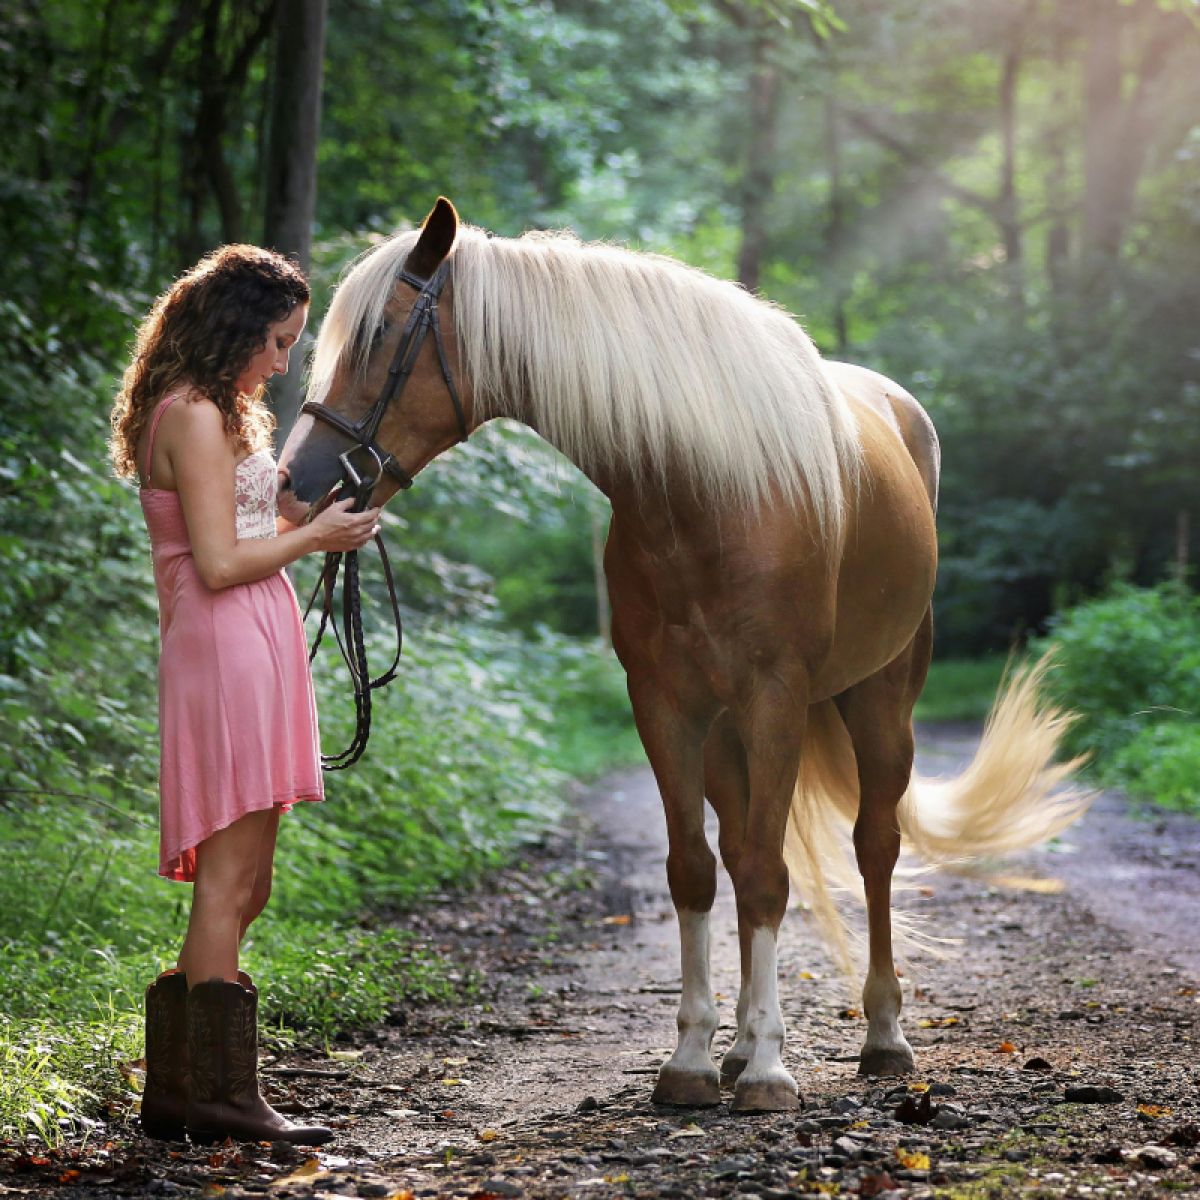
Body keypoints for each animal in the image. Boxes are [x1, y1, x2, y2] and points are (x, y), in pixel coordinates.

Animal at [278, 198, 1086, 1113]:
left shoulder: (775, 698)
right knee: (738, 849)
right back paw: (737, 1047)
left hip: (881, 702)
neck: (706, 494)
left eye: (380, 333)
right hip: (730, 731)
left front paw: (770, 1071)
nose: (296, 483)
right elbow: (696, 871)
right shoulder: (665, 705)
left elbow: (770, 875)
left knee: (874, 845)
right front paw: (697, 1060)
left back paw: (882, 1036)